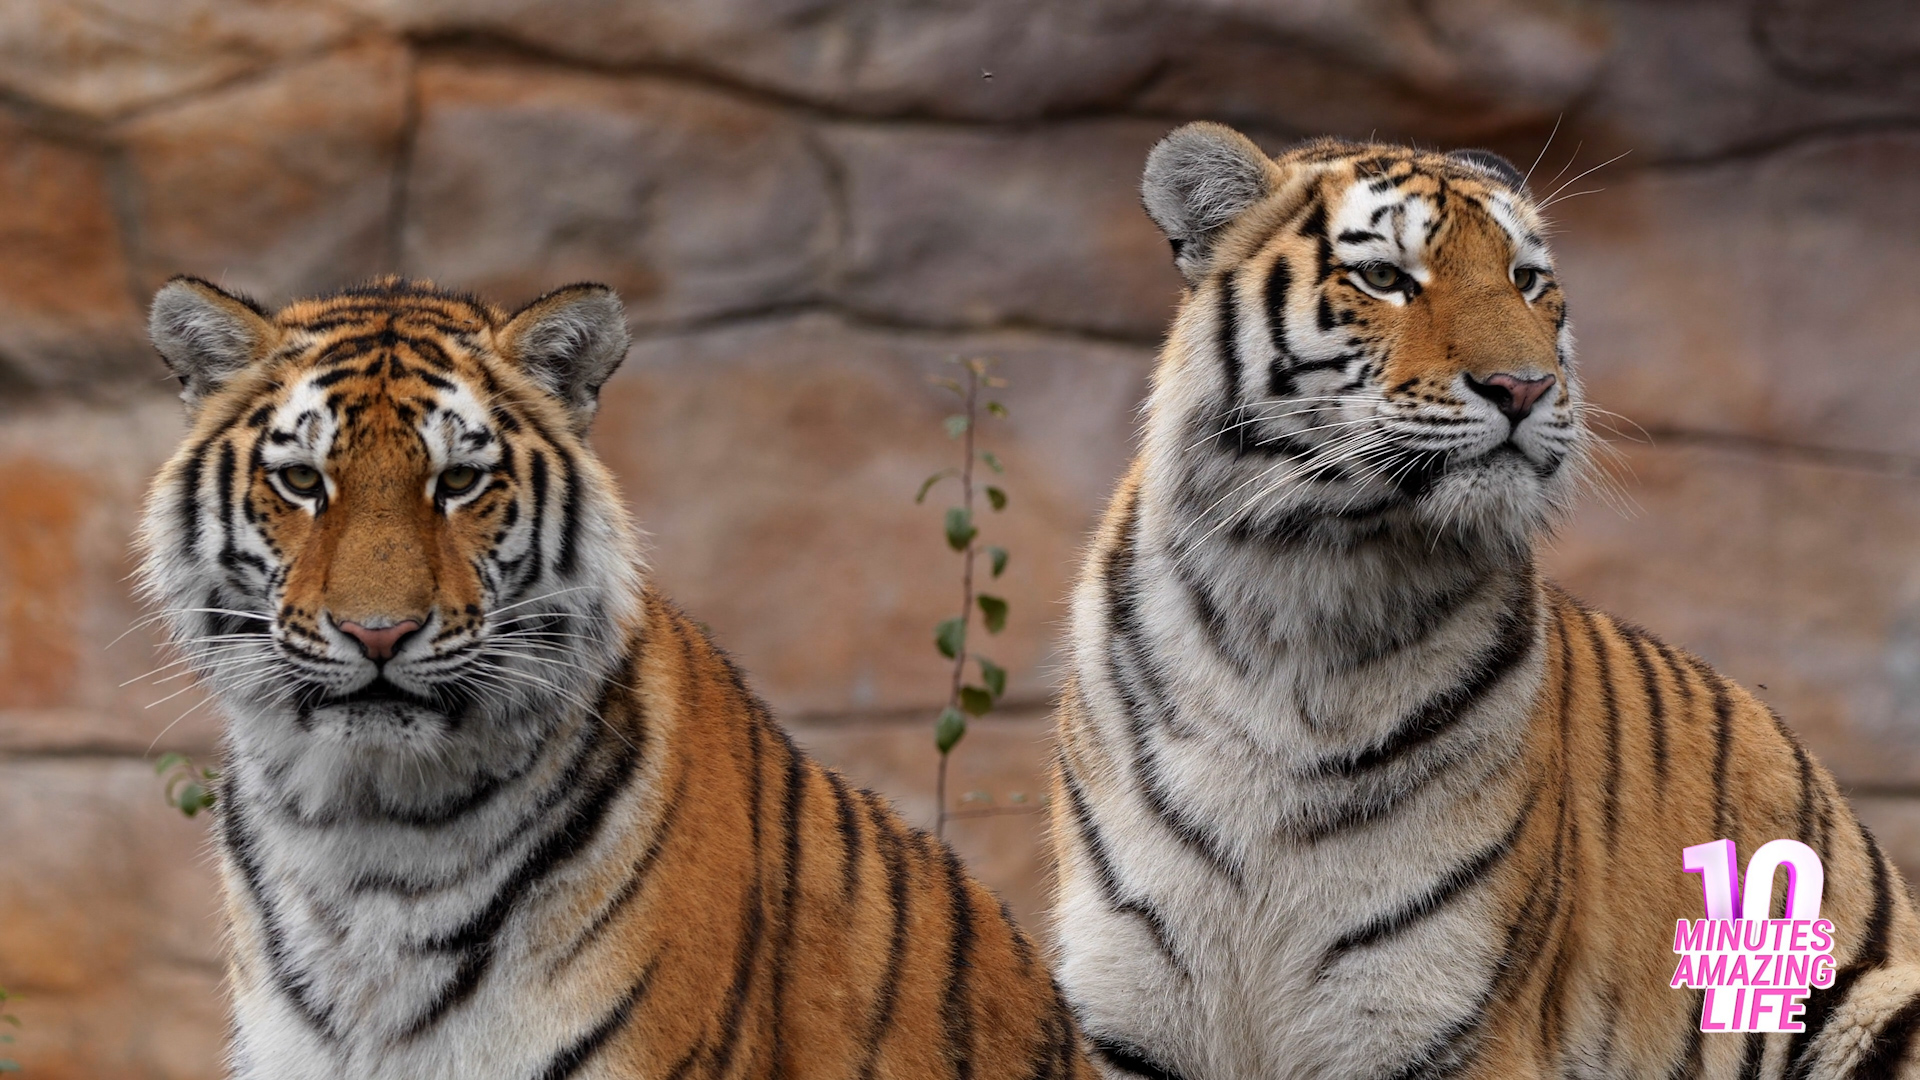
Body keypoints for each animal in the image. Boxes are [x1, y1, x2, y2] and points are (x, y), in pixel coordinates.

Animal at [1047, 123, 1920, 1079]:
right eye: (1384, 277)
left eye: (1526, 279)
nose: (1525, 387)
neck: (1297, 596)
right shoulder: (1132, 1013)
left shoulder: (1441, 1014)